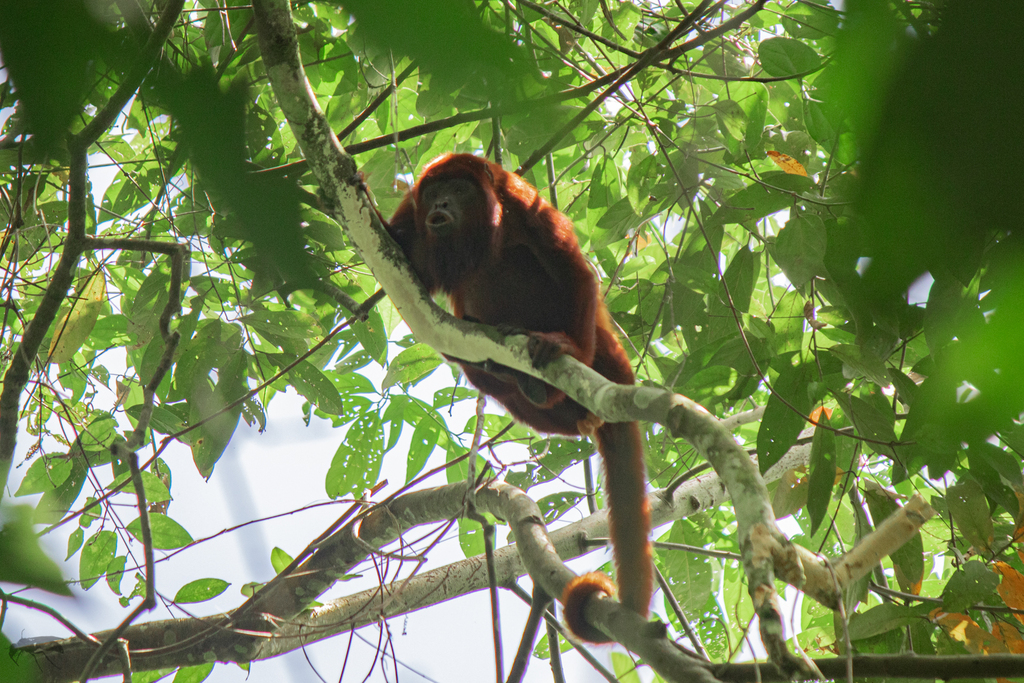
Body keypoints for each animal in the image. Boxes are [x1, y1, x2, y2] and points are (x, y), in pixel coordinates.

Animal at [386, 153, 651, 642]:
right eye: (433, 193)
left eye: (458, 189)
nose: (442, 205)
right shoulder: (410, 212)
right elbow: (415, 270)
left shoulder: (525, 204)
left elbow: (575, 270)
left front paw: (566, 348)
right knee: (462, 348)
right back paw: (511, 375)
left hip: (598, 342)